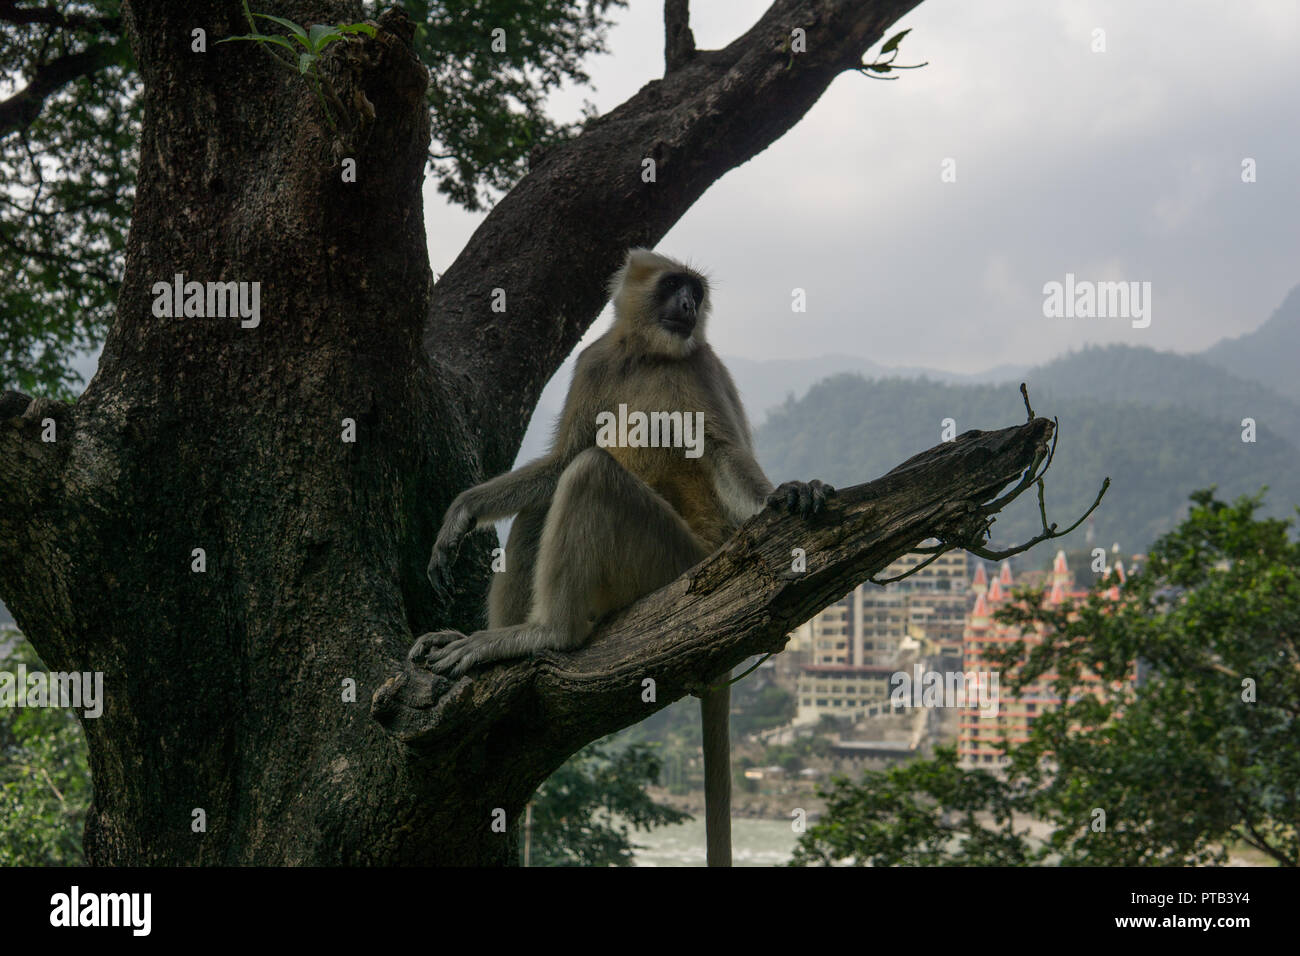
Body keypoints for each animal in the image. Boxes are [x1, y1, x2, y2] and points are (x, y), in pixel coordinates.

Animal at [411, 248, 834, 866]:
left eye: (694, 292)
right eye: (675, 286)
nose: (689, 305)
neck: (646, 355)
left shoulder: (700, 366)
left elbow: (721, 454)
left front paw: (787, 492)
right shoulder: (596, 362)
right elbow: (560, 460)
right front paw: (462, 512)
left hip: (673, 564)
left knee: (591, 475)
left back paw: (549, 633)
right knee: (548, 499)